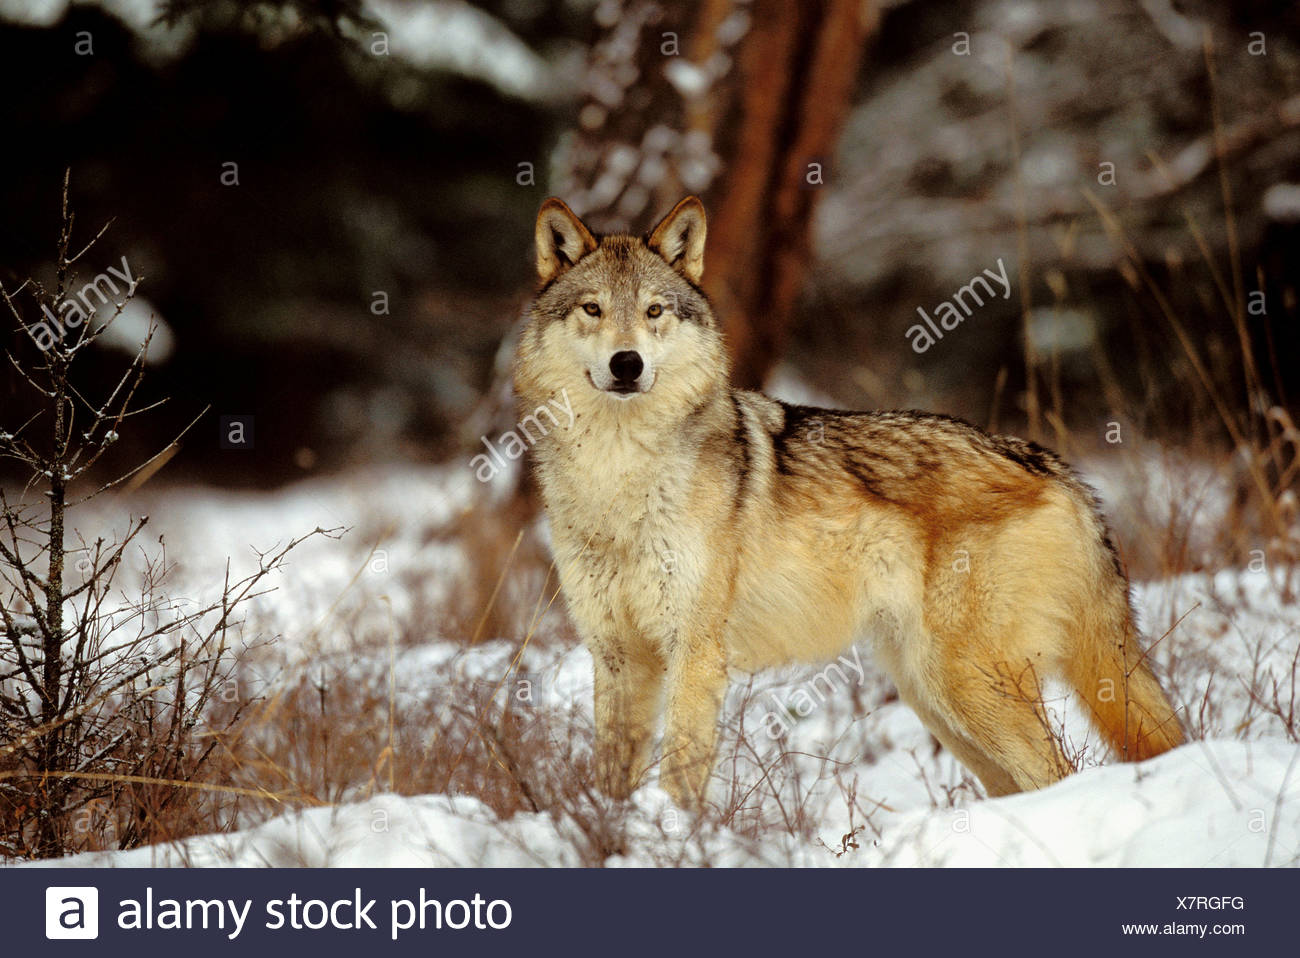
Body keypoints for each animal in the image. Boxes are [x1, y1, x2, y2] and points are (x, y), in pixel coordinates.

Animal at [513, 195, 1185, 807]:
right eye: (593, 309)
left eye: (653, 311)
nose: (626, 364)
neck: (617, 475)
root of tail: (1053, 466)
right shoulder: (617, 656)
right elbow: (612, 776)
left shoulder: (694, 651)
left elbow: (680, 778)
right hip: (936, 698)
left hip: (967, 686)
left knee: (1059, 775)